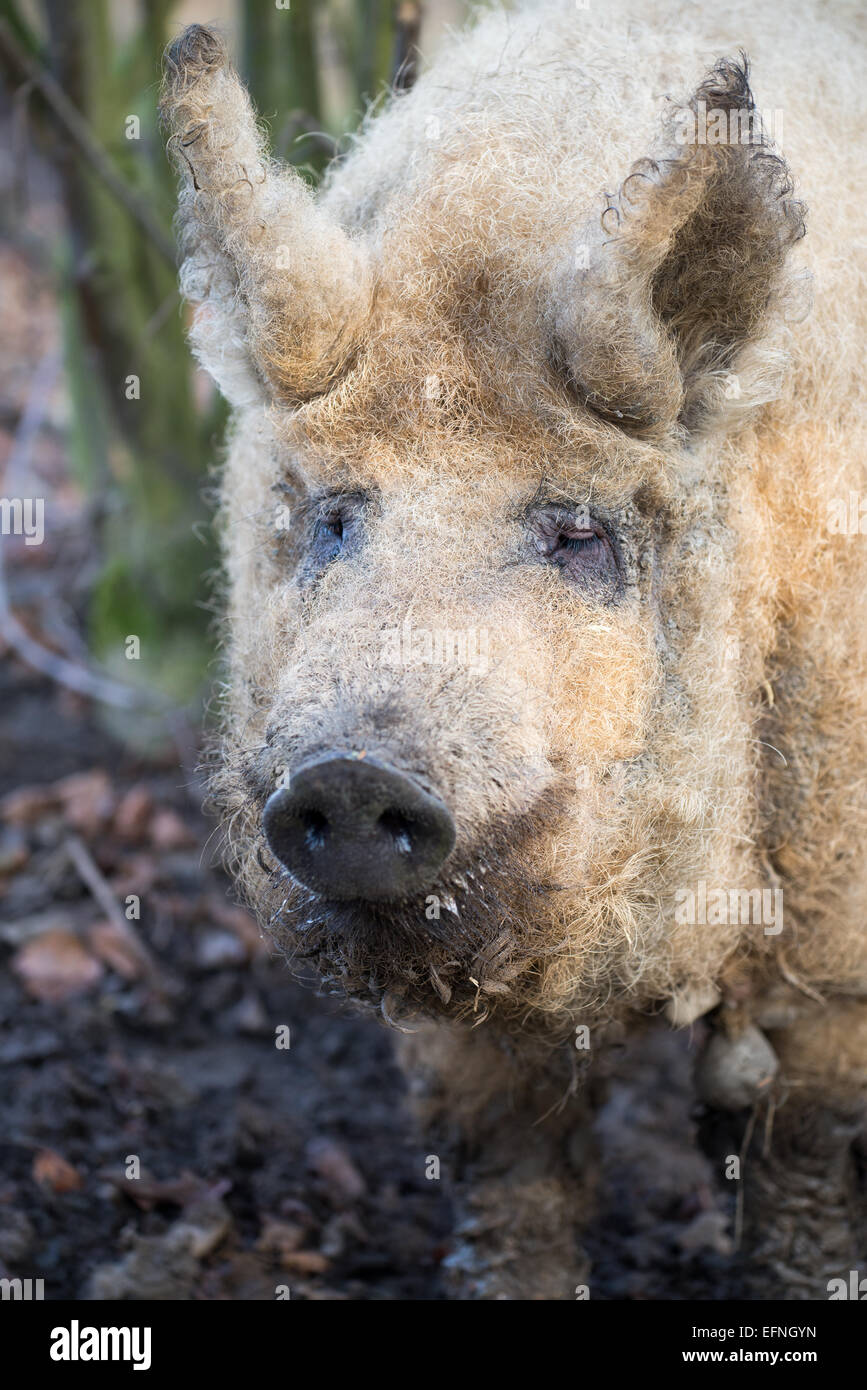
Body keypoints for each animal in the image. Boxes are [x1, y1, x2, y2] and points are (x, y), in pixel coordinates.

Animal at [161, 0, 867, 1299]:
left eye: (577, 532)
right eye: (336, 518)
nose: (352, 775)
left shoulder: (837, 954)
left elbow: (797, 1164)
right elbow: (511, 1167)